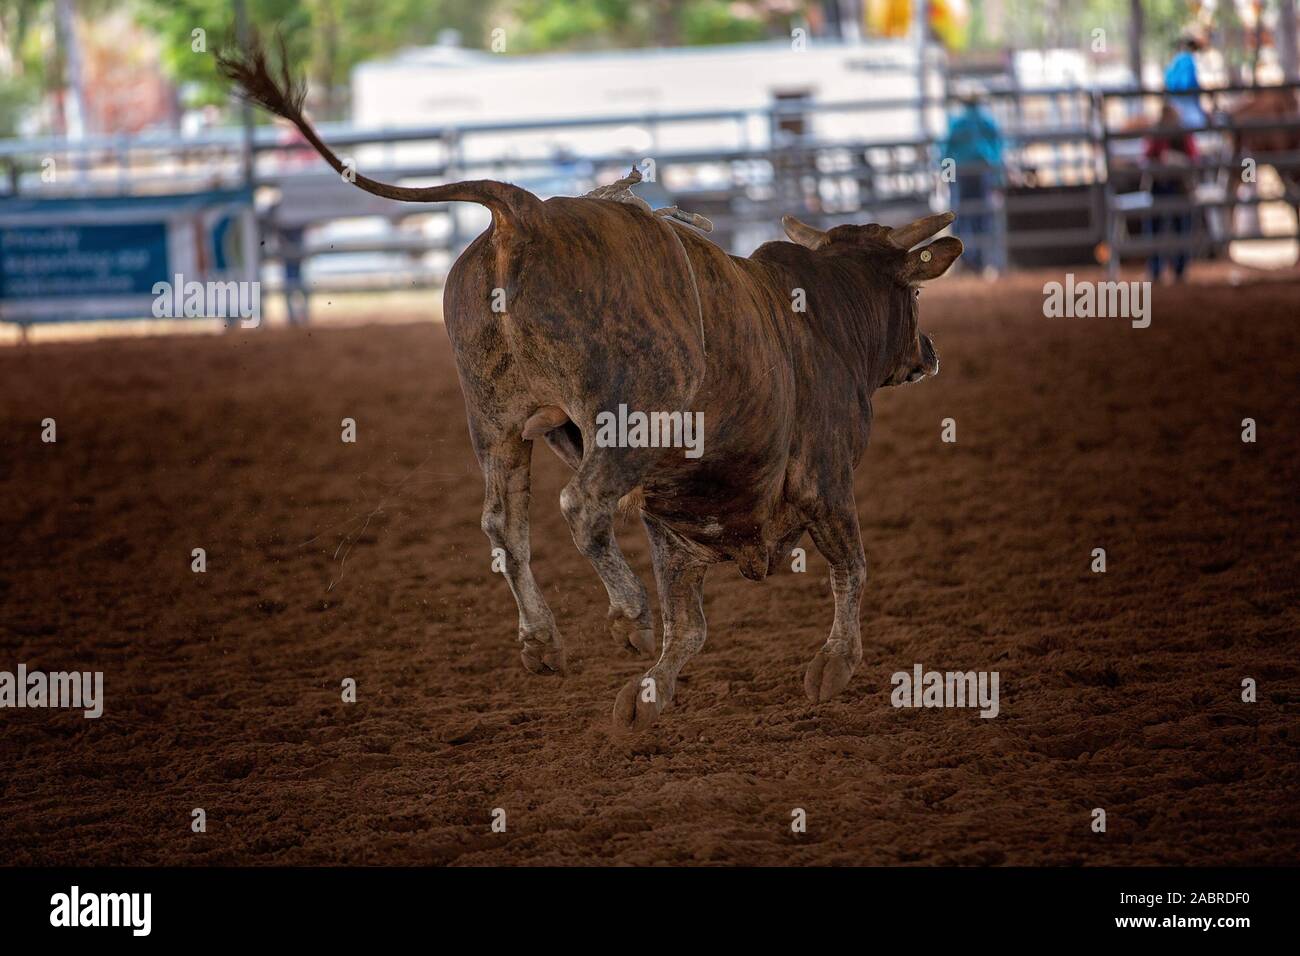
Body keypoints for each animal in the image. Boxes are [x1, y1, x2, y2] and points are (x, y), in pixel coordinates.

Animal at [218, 39, 960, 731]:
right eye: (917, 292)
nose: (926, 352)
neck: (822, 316)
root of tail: (525, 214)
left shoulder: (674, 516)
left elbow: (689, 623)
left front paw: (649, 693)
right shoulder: (823, 478)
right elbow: (847, 568)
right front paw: (834, 664)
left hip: (496, 421)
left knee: (504, 522)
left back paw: (543, 640)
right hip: (635, 414)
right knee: (580, 505)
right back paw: (626, 612)